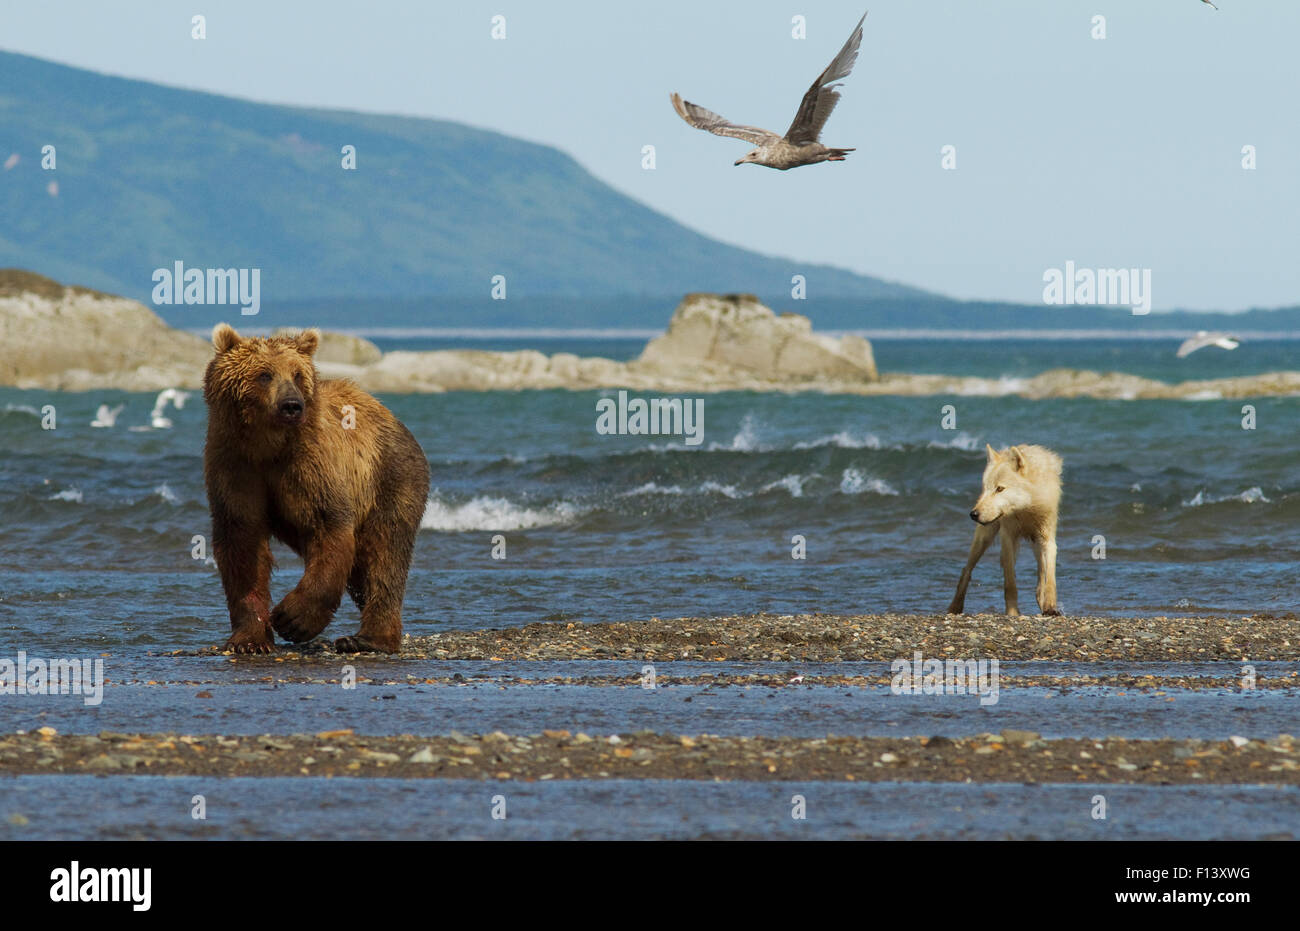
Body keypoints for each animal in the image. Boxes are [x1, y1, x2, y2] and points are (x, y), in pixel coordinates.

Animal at [202, 324, 430, 653]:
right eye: (265, 374)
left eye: (297, 374)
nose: (291, 405)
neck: (267, 445)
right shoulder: (235, 465)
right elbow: (241, 540)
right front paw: (250, 640)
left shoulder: (311, 466)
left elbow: (329, 526)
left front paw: (292, 619)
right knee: (363, 567)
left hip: (390, 476)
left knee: (384, 551)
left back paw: (369, 638)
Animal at [947, 444, 1063, 617]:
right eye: (986, 488)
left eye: (1000, 489)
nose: (973, 514)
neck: (1025, 509)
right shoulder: (1008, 538)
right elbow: (1010, 583)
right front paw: (1013, 612)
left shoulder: (1048, 539)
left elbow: (1050, 580)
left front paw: (1050, 607)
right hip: (984, 538)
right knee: (966, 570)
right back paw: (955, 607)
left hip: (1035, 545)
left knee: (1040, 579)